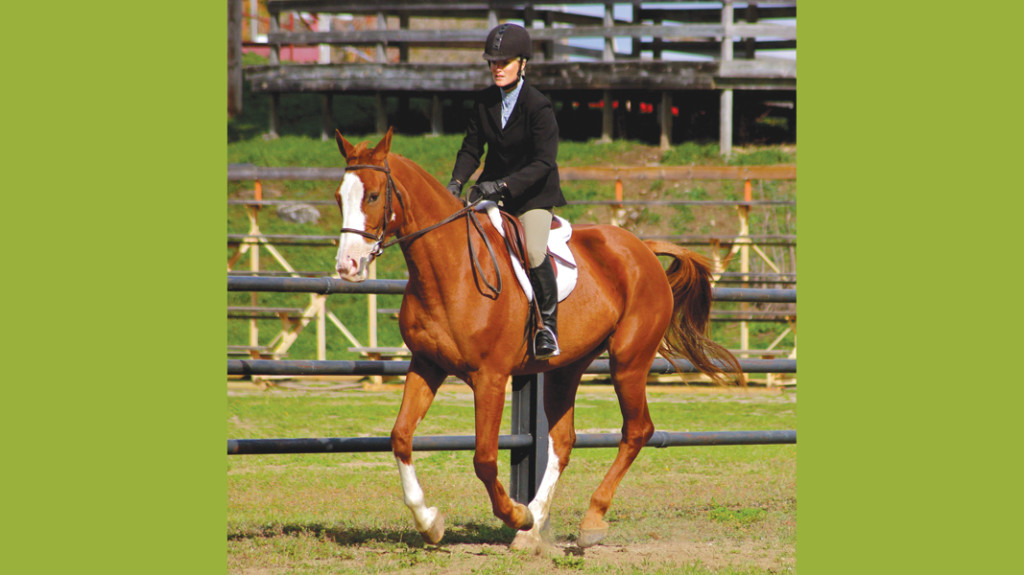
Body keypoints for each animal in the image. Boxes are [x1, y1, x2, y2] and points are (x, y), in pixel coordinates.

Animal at [332, 128, 743, 550]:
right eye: (339, 197)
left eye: (373, 196)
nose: (347, 266)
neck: (451, 268)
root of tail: (642, 247)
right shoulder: (426, 364)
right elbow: (400, 437)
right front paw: (429, 521)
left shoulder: (490, 376)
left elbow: (484, 458)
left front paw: (516, 513)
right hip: (566, 368)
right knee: (563, 440)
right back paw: (532, 530)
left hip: (628, 362)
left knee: (636, 431)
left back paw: (588, 520)